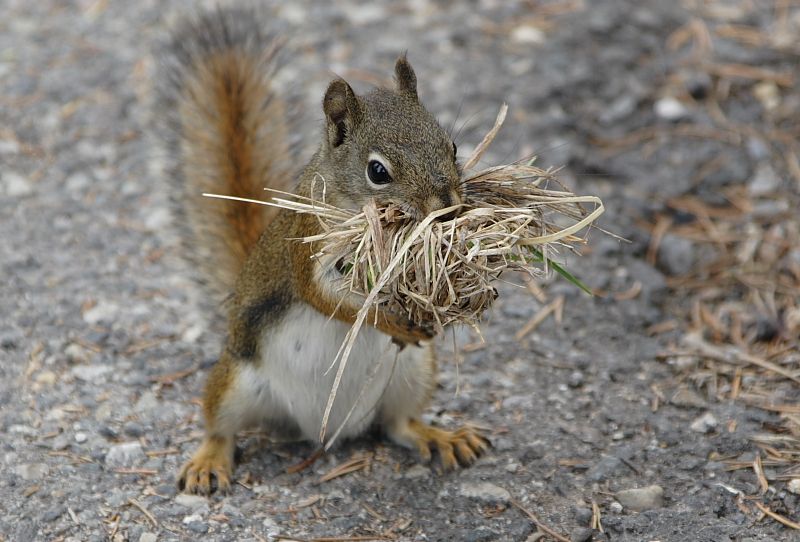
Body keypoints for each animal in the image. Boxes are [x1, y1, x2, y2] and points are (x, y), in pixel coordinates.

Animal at [155, 7, 488, 495]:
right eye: (377, 171)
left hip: (412, 373)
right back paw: (208, 460)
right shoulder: (309, 248)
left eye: (453, 146)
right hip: (236, 382)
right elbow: (326, 299)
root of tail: (322, 431)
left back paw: (440, 436)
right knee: (220, 426)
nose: (447, 209)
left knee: (400, 424)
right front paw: (391, 320)